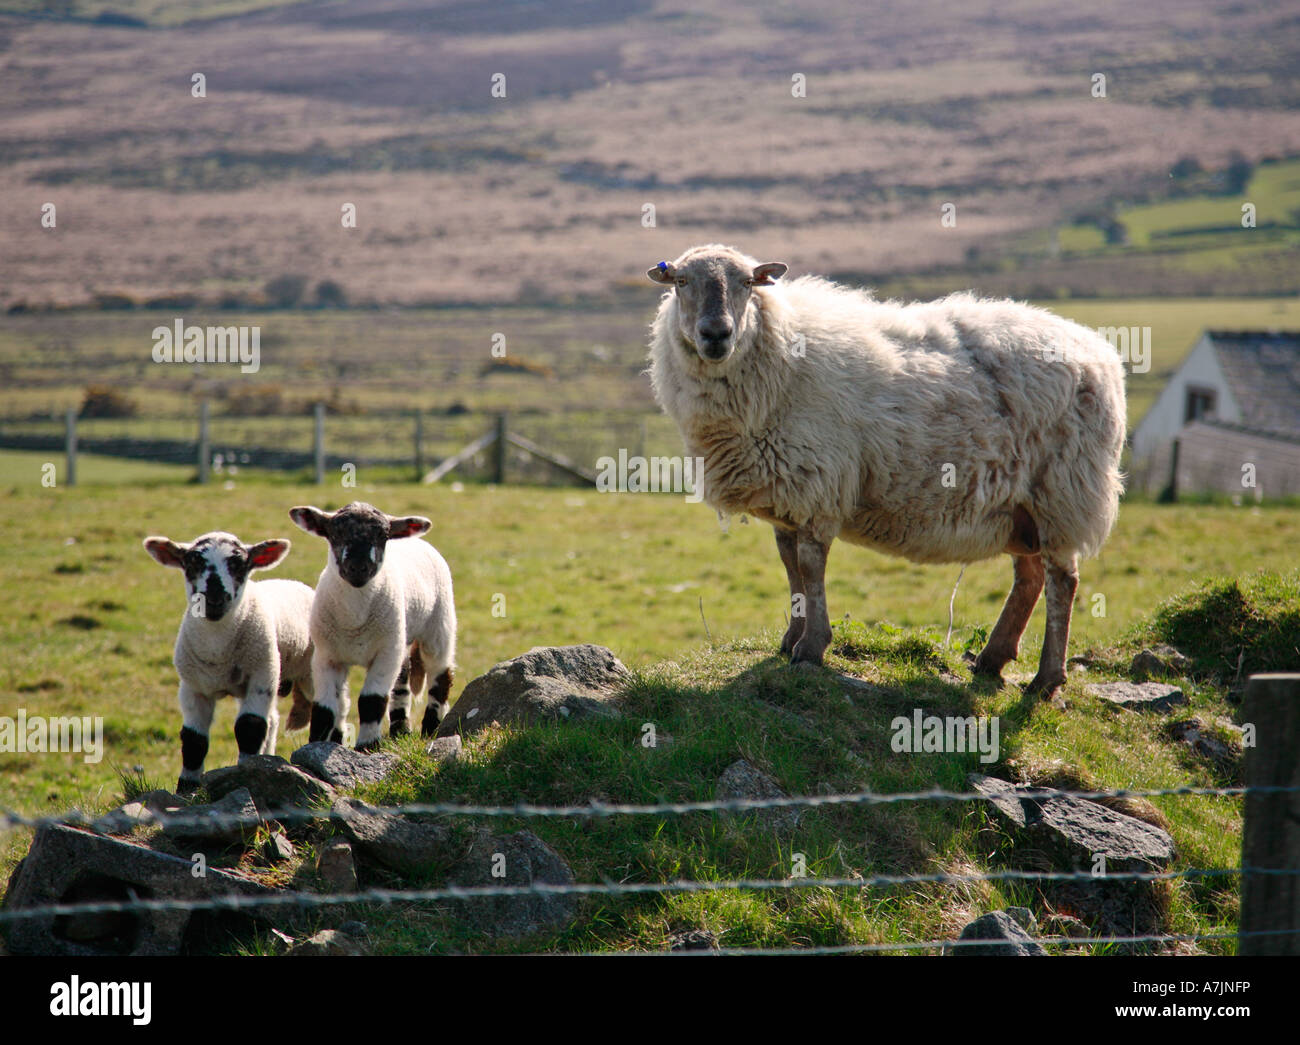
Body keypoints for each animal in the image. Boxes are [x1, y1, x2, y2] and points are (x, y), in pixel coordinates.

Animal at [144, 532, 315, 793]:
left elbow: (249, 727)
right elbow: (194, 740)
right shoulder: (192, 687)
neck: (218, 650)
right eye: (192, 562)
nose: (214, 598)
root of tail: (295, 582)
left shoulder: (261, 675)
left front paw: (246, 773)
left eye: (238, 564)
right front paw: (186, 788)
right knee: (273, 721)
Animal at [289, 501, 456, 750]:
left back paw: (431, 730)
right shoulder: (326, 656)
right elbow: (324, 710)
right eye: (335, 534)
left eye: (383, 536)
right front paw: (317, 744)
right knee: (402, 679)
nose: (358, 568)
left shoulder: (385, 653)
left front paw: (367, 747)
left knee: (440, 673)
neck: (355, 619)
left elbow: (371, 701)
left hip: (439, 623)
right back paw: (400, 731)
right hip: (399, 637)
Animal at [647, 244, 1126, 699]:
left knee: (1062, 580)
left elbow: (810, 565)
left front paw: (811, 647)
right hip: (1020, 503)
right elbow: (790, 565)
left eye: (748, 283)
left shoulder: (819, 481)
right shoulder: (787, 491)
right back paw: (993, 659)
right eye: (681, 281)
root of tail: (1100, 354)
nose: (717, 334)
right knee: (1028, 576)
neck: (778, 357)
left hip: (1064, 490)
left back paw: (1045, 681)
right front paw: (790, 639)